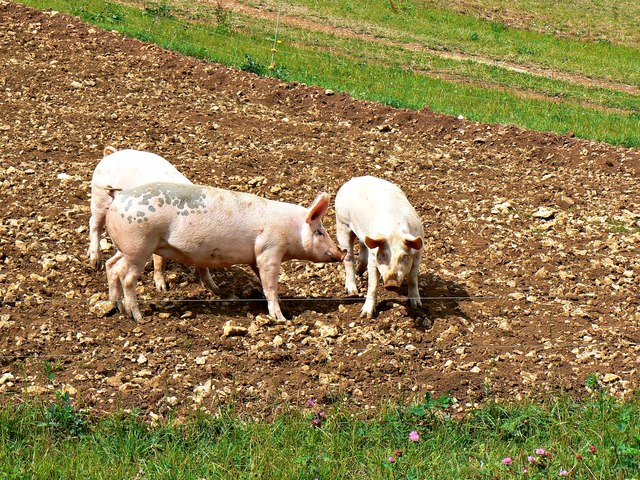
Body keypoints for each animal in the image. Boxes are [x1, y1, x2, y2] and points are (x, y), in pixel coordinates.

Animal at [88, 146, 217, 293]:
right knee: (94, 224)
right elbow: (160, 260)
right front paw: (162, 289)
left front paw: (215, 288)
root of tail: (112, 154)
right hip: (99, 199)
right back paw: (95, 262)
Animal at [103, 182, 344, 321]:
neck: (290, 229)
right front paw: (280, 318)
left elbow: (263, 282)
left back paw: (117, 309)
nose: (341, 253)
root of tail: (118, 198)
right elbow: (270, 285)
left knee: (112, 266)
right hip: (139, 246)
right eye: (320, 232)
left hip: (125, 248)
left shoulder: (256, 257)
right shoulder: (269, 250)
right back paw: (138, 317)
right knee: (127, 278)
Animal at [335, 176, 424, 318]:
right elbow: (373, 284)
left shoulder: (418, 254)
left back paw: (360, 271)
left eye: (404, 257)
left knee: (362, 244)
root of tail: (353, 180)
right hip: (342, 224)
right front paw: (366, 315)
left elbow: (413, 278)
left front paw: (416, 305)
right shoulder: (373, 256)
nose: (391, 283)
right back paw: (352, 291)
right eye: (382, 255)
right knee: (348, 258)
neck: (394, 230)